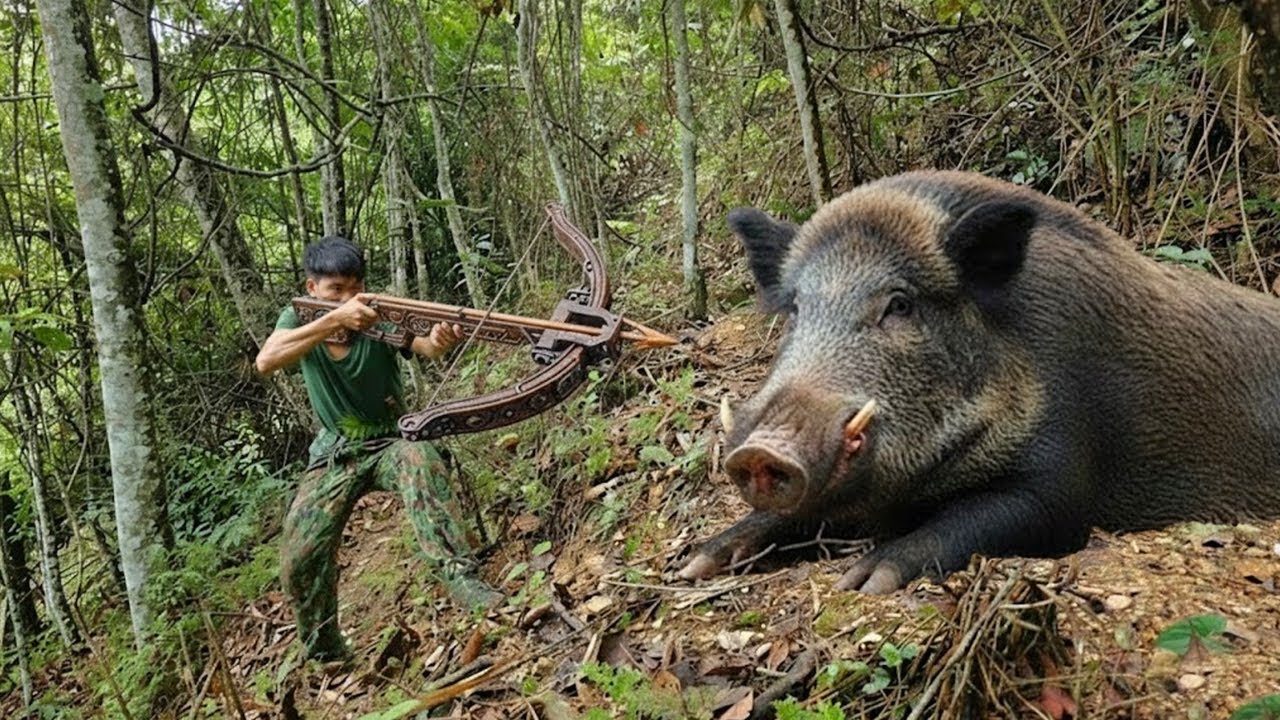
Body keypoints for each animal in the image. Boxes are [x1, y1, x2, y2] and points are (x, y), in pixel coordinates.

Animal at [679, 170, 1280, 594]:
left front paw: (865, 579)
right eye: (797, 308)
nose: (760, 452)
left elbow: (983, 517)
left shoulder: (1063, 481)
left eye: (900, 304)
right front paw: (695, 564)